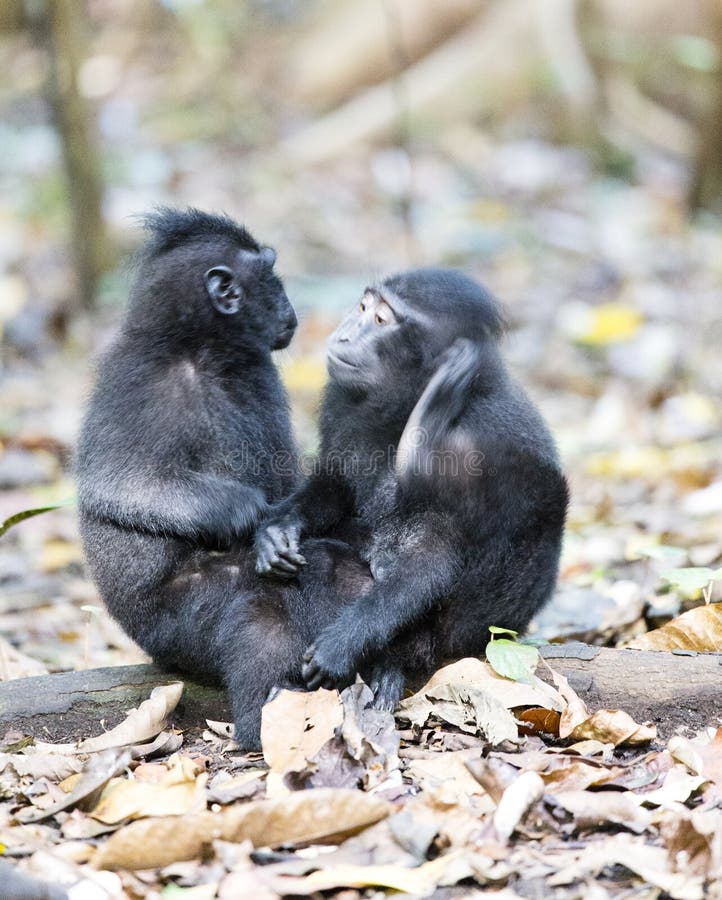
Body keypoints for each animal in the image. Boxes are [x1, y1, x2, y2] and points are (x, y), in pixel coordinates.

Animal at [255, 268, 569, 707]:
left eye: (381, 320)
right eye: (363, 308)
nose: (345, 334)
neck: (407, 402)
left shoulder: (474, 445)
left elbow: (431, 560)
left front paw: (343, 643)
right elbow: (335, 483)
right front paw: (278, 530)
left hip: (467, 630)